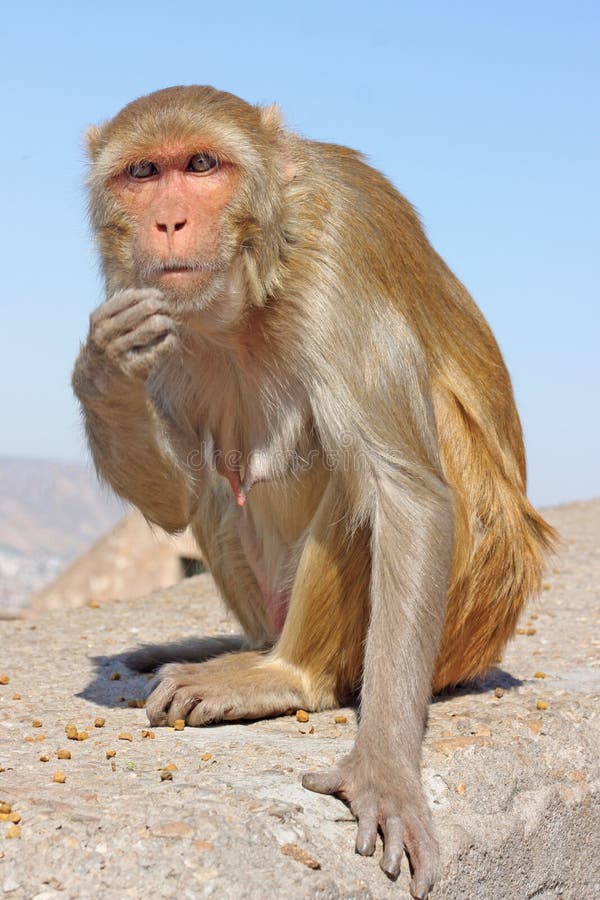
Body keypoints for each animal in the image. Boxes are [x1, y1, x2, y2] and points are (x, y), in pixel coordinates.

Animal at [72, 86, 555, 898]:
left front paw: (385, 771)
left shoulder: (335, 258)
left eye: (201, 165)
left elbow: (406, 496)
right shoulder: (146, 294)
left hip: (472, 603)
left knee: (369, 473)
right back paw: (239, 648)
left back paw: (285, 677)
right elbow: (178, 496)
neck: (258, 265)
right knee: (220, 481)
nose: (167, 221)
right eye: (143, 173)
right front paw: (104, 367)